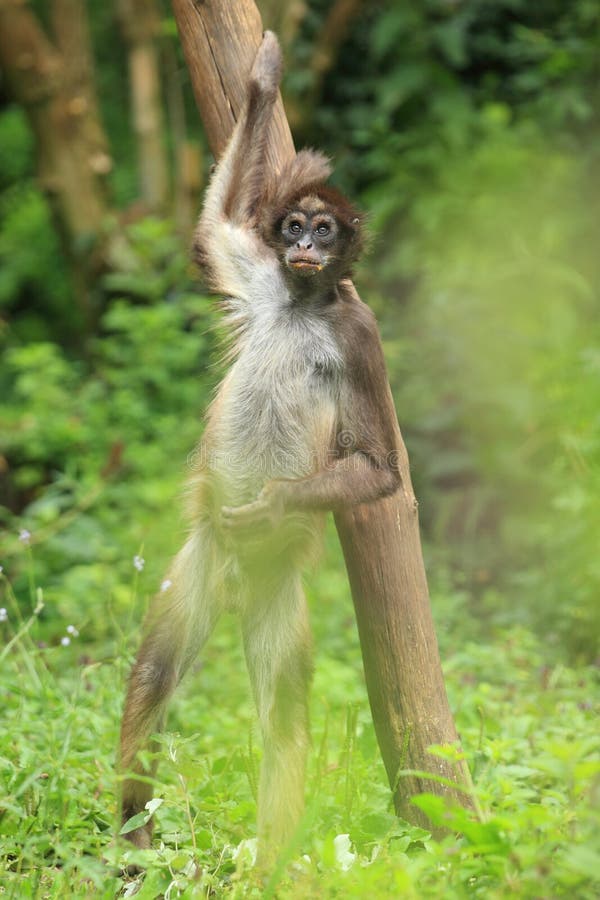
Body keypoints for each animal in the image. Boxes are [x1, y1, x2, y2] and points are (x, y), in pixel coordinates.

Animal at [119, 31, 401, 860]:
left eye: (326, 230)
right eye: (294, 227)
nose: (304, 244)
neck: (304, 304)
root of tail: (241, 582)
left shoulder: (360, 331)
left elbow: (380, 470)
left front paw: (274, 502)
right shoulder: (264, 280)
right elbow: (210, 231)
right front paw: (265, 78)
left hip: (274, 588)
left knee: (280, 722)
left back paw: (269, 865)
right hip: (202, 560)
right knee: (156, 674)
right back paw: (133, 840)